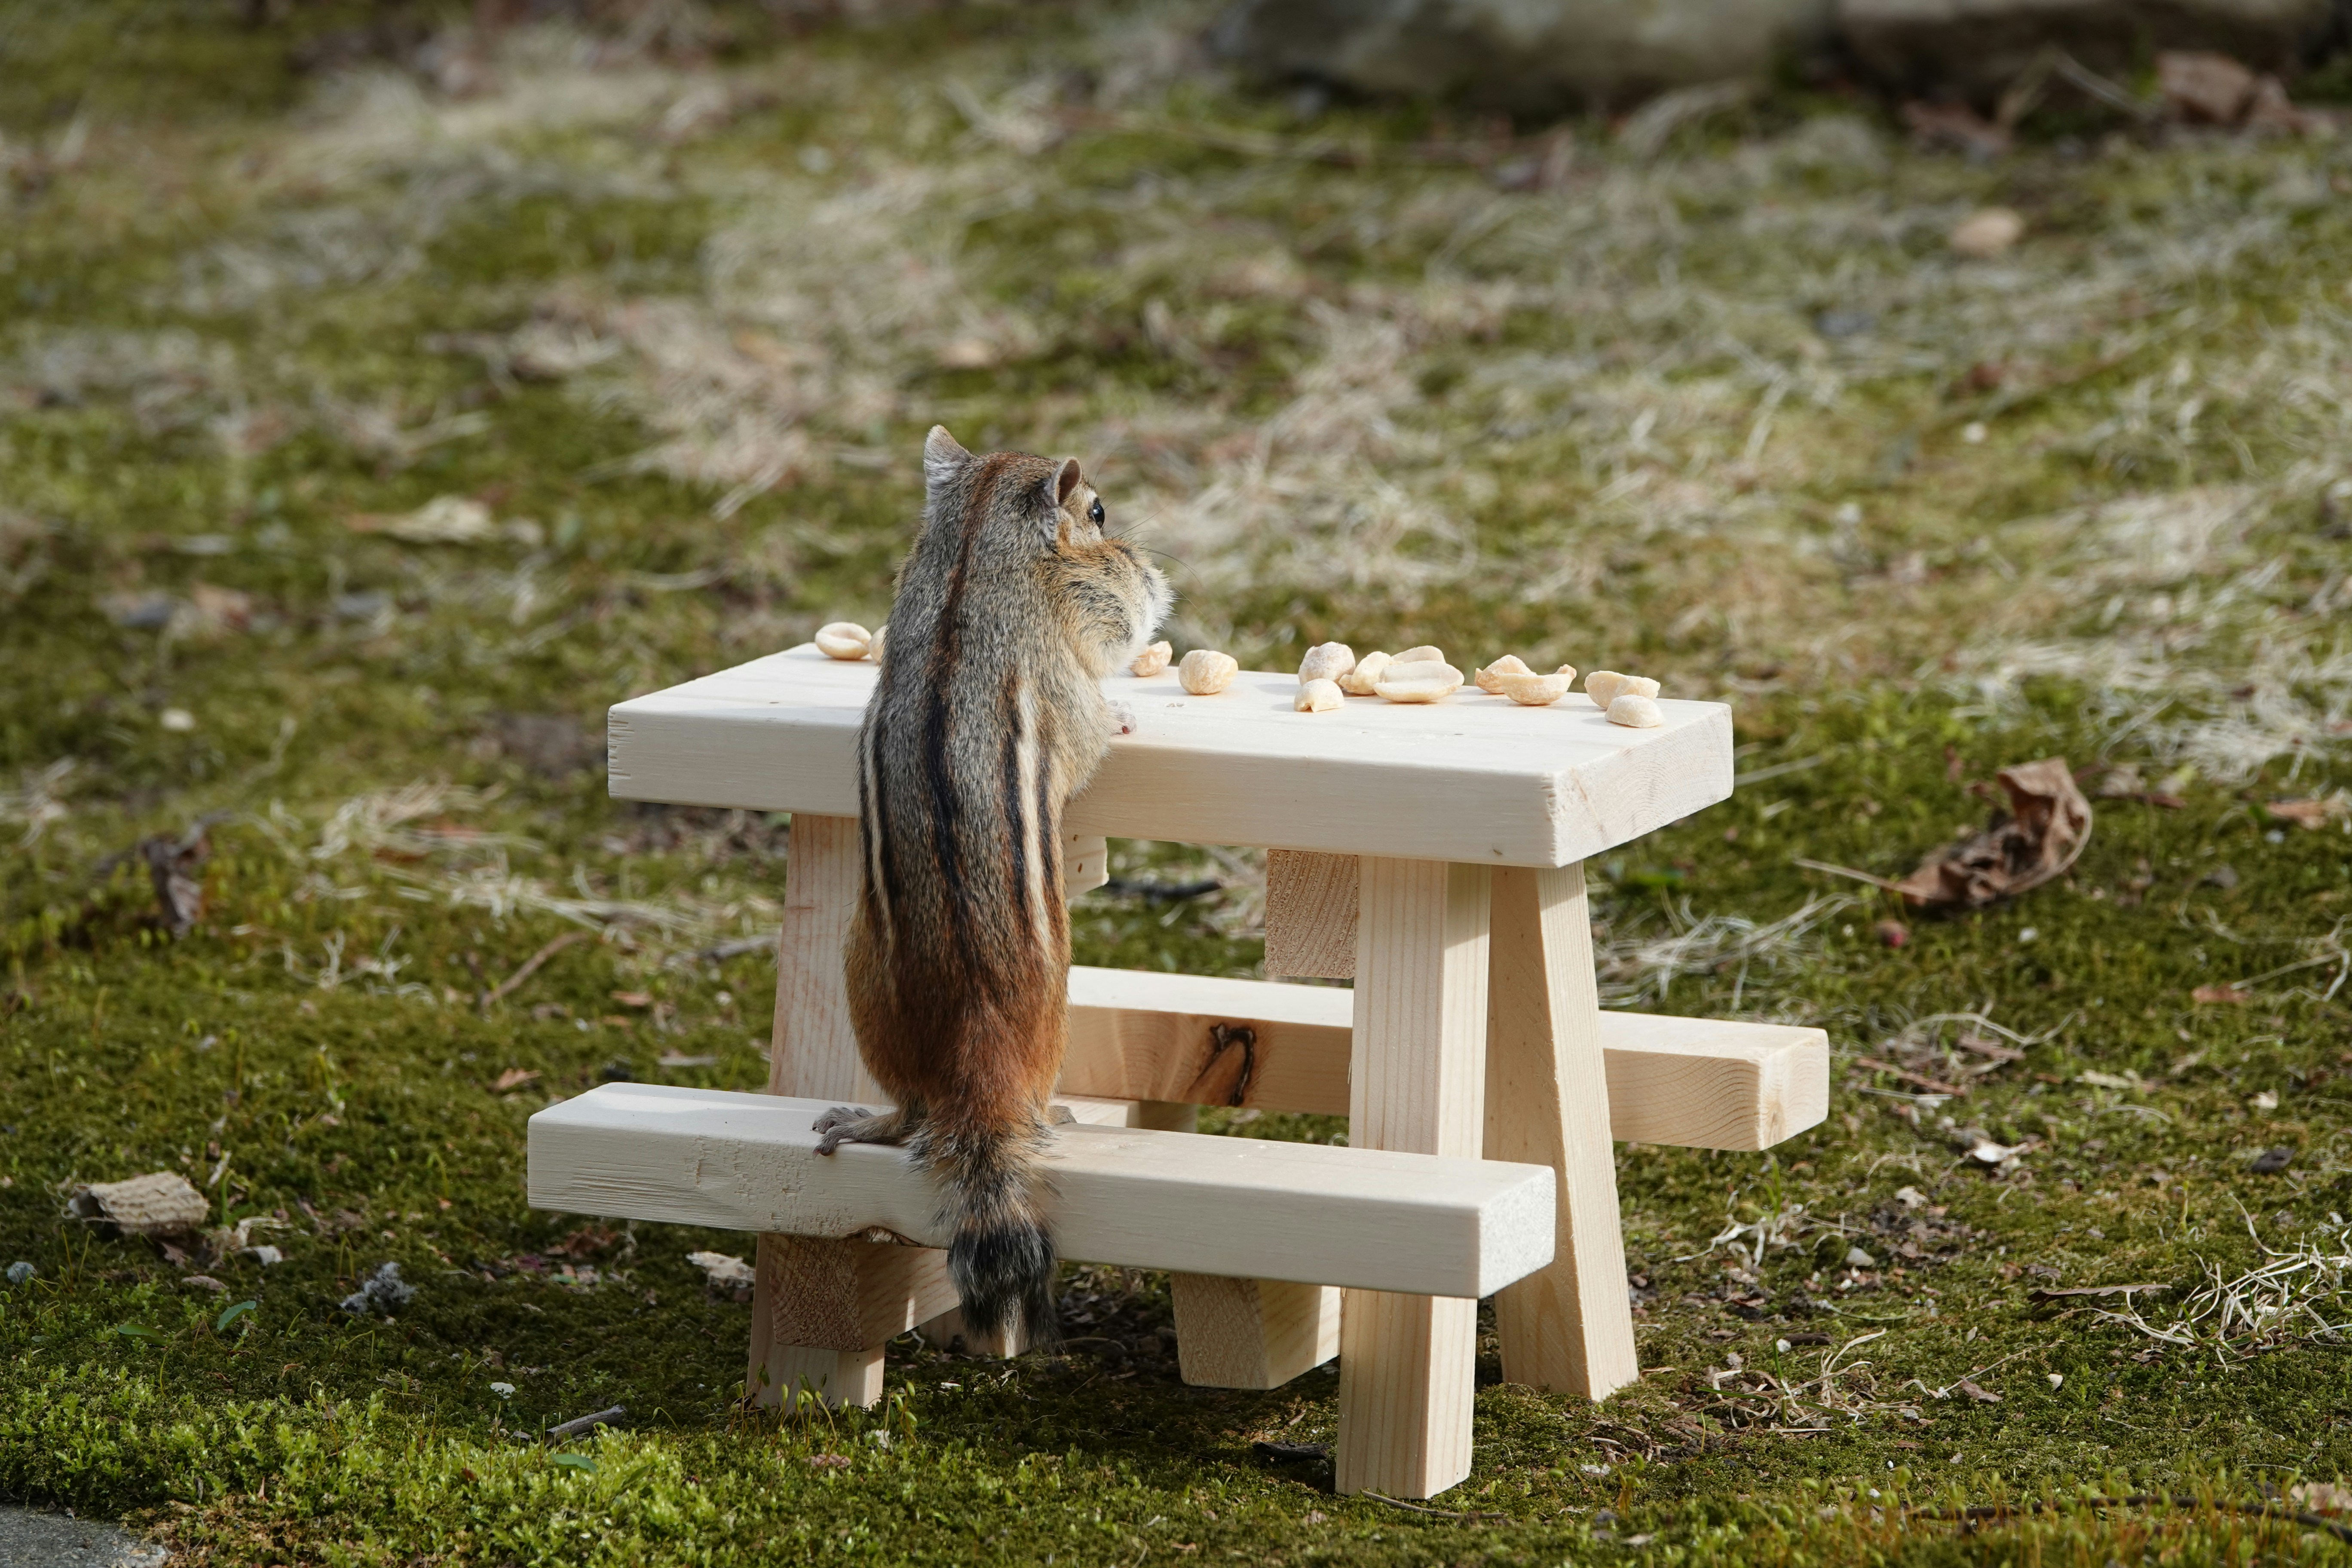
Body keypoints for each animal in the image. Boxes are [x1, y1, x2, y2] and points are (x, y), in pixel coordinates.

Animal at [813, 425, 1171, 1347]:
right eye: (1098, 513)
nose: (1146, 567)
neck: (972, 549)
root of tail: (977, 1058)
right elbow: (1092, 723)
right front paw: (1126, 711)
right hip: (1057, 1015)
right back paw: (1059, 1116)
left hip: (864, 984)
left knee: (912, 1112)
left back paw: (864, 1121)